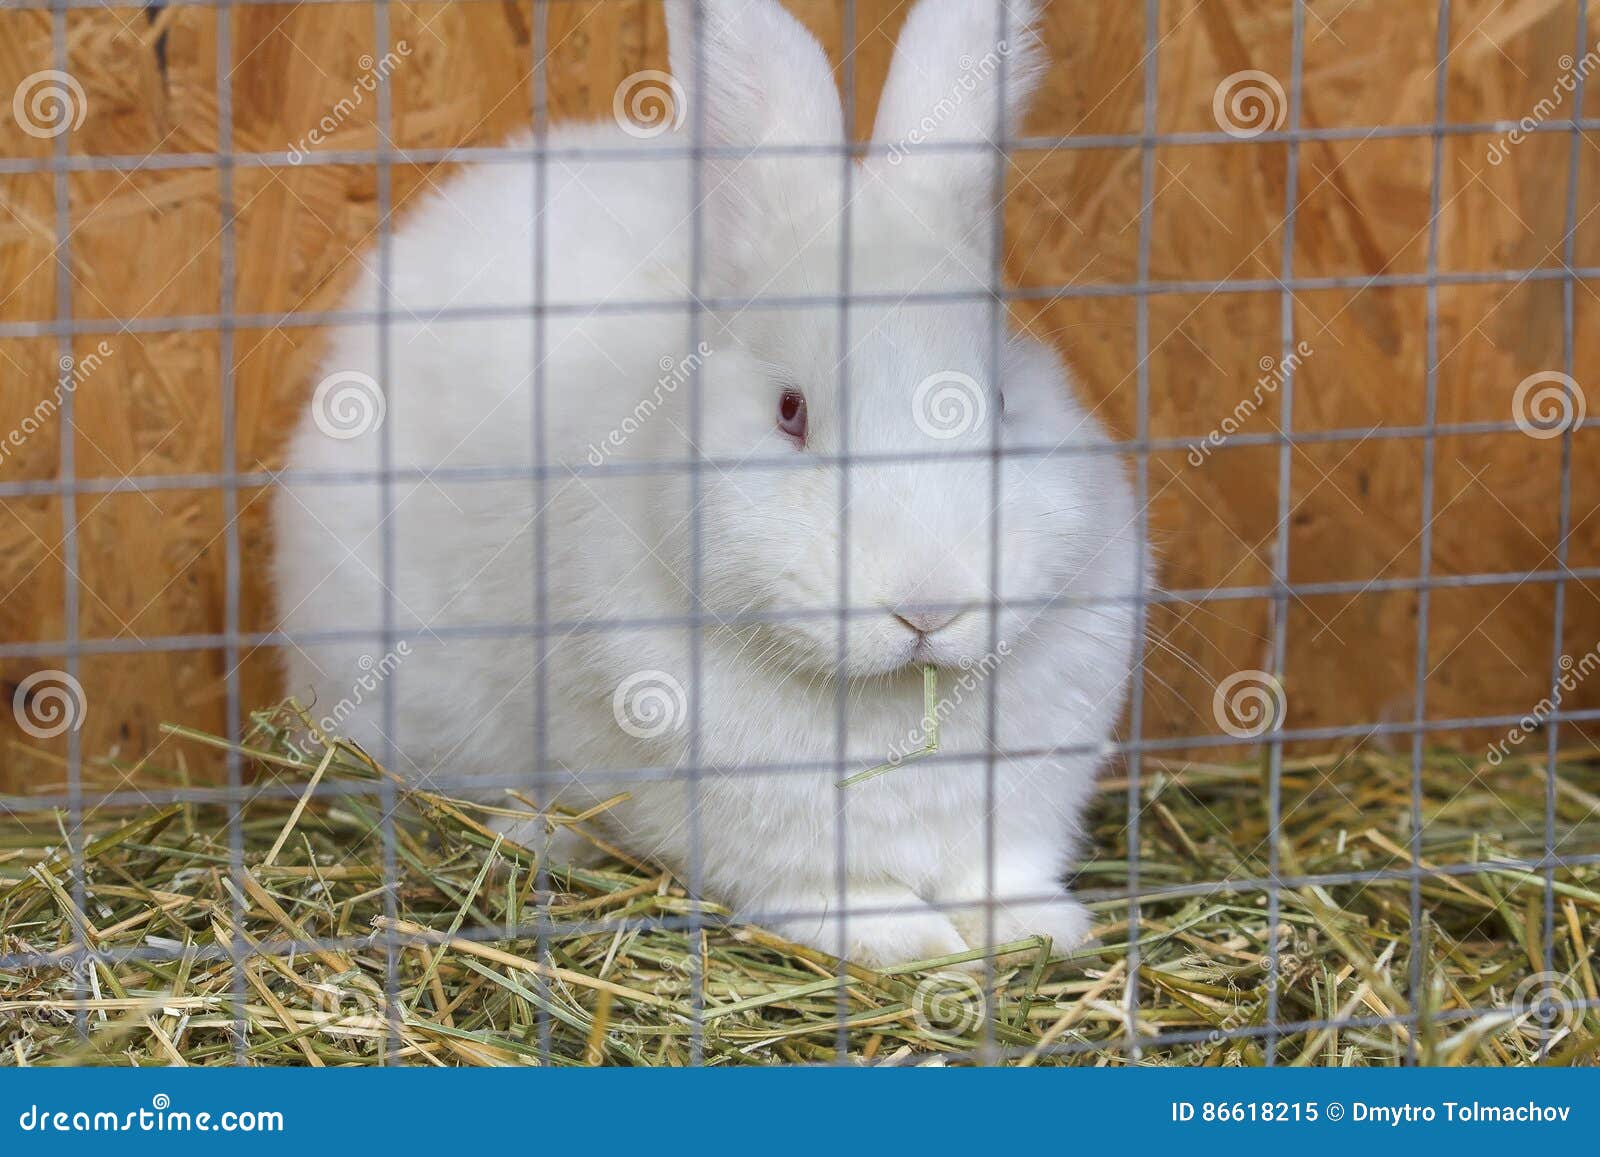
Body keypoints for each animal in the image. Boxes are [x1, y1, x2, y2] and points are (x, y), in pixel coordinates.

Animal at [272, 0, 1144, 969]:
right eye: (791, 412)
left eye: (998, 401)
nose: (927, 606)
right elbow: (831, 891)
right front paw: (907, 940)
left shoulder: (1026, 800)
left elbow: (1004, 871)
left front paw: (1042, 928)